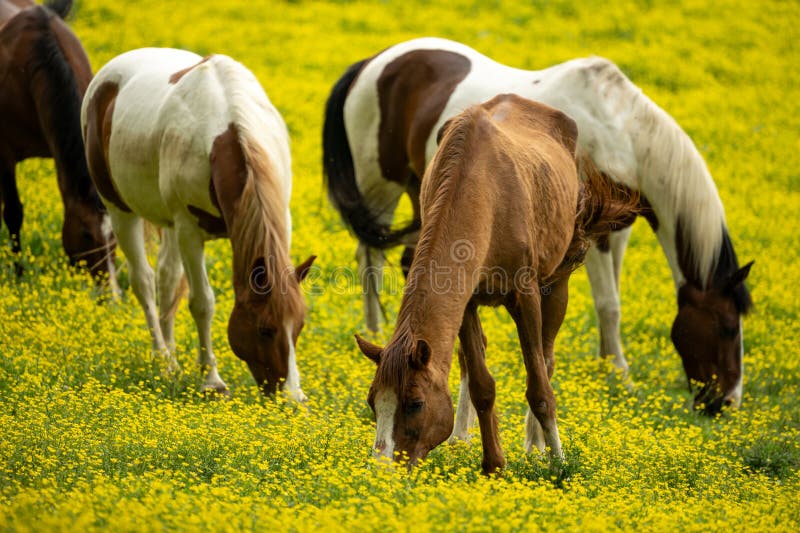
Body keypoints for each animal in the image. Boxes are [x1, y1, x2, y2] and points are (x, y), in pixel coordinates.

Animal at [81, 48, 315, 399]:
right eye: (265, 329)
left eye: (299, 325)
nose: (292, 400)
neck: (227, 134)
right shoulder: (189, 231)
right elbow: (202, 302)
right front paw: (212, 381)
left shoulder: (279, 221)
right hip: (120, 211)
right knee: (144, 282)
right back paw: (162, 359)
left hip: (167, 226)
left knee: (166, 280)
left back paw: (172, 359)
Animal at [324, 37, 753, 415]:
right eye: (728, 328)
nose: (727, 403)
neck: (622, 129)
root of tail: (372, 62)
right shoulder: (592, 232)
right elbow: (609, 304)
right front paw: (620, 374)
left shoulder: (618, 228)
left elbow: (611, 301)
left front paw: (608, 367)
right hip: (380, 185)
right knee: (370, 255)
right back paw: (375, 332)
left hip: (424, 191)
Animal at [356, 94, 639, 473]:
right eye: (373, 401)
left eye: (415, 403)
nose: (382, 469)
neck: (480, 190)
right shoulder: (466, 304)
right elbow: (482, 385)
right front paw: (494, 465)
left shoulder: (526, 296)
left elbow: (540, 389)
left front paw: (559, 464)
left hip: (557, 283)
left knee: (546, 360)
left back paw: (537, 446)